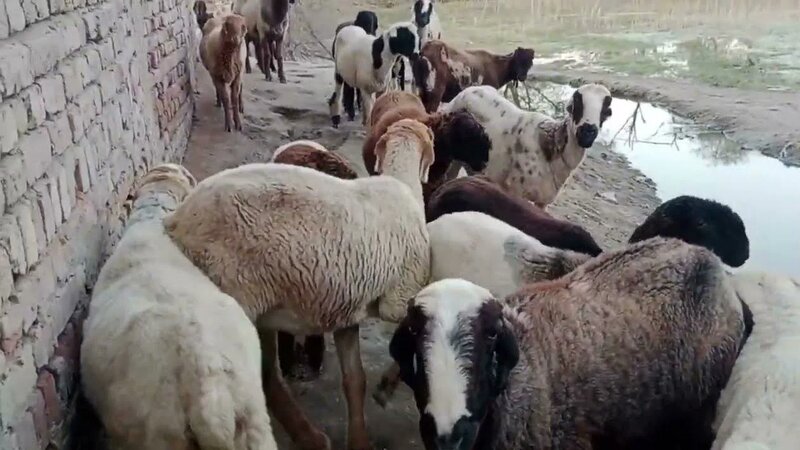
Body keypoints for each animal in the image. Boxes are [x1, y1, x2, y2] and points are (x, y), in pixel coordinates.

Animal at [164, 118, 436, 450]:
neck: (403, 185)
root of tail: (176, 223)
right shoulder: (399, 297)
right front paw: (386, 388)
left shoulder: (350, 307)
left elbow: (355, 379)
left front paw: (359, 439)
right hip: (237, 295)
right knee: (263, 375)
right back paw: (310, 437)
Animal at [441, 84, 612, 207]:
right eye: (577, 104)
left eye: (605, 111)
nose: (587, 133)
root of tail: (472, 88)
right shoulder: (515, 189)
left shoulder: (543, 202)